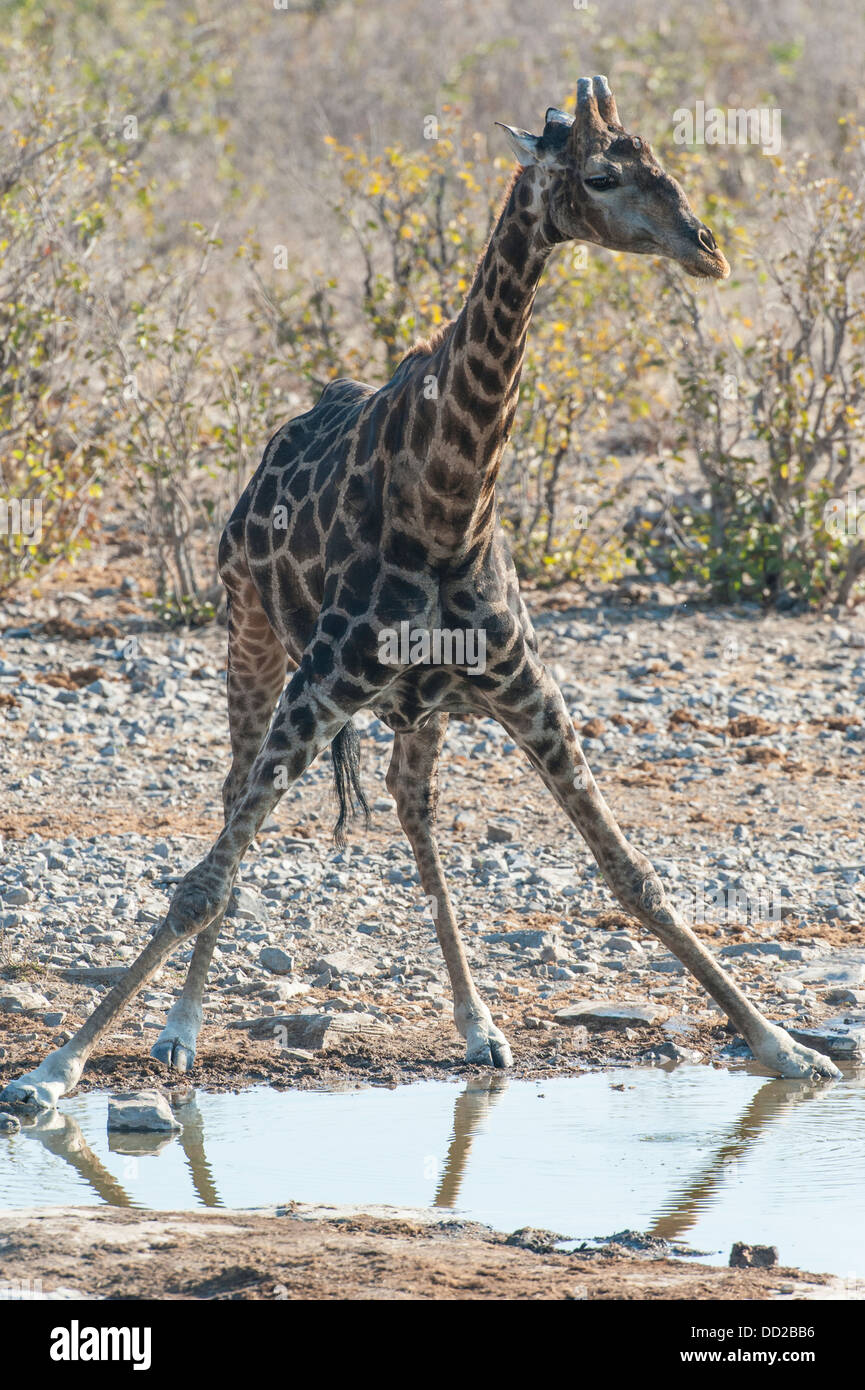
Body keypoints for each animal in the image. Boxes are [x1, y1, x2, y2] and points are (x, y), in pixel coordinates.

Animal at [0, 75, 839, 1111]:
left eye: (661, 163)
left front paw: (783, 1047)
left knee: (410, 811)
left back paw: (478, 1027)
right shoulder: (320, 683)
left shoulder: (528, 692)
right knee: (234, 811)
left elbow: (631, 874)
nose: (706, 248)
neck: (448, 505)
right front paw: (53, 1068)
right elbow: (202, 881)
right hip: (251, 639)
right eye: (602, 175)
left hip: (421, 709)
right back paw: (181, 1030)